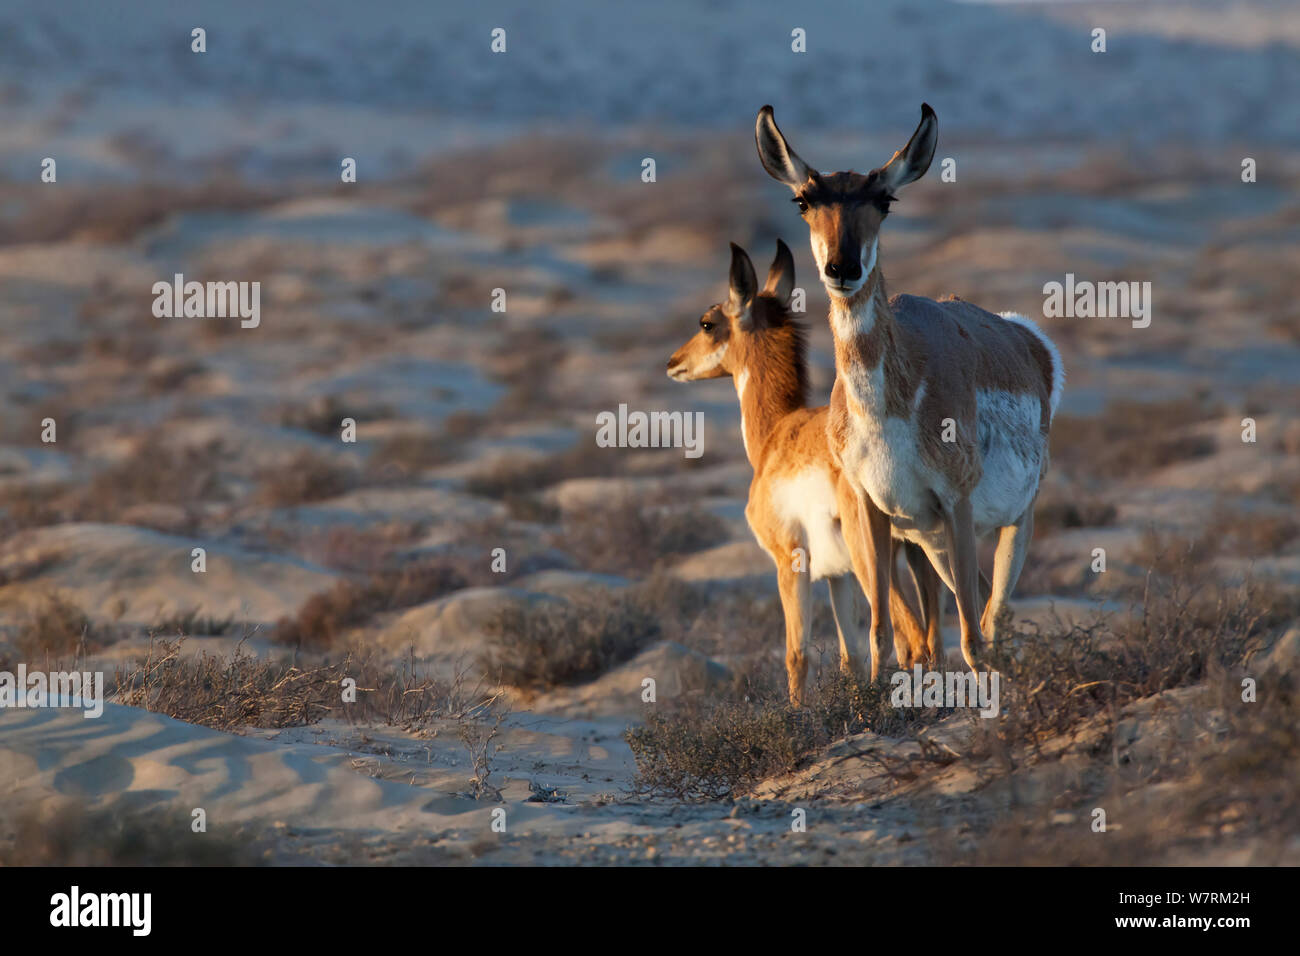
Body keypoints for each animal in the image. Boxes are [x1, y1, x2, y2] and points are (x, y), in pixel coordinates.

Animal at [666, 239, 939, 704]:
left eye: (707, 322)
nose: (672, 362)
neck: (779, 433)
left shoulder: (790, 562)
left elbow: (797, 656)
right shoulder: (837, 578)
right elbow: (849, 658)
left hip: (875, 564)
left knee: (911, 639)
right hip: (918, 558)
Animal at [755, 104, 1064, 672]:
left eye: (885, 200)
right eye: (803, 200)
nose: (843, 267)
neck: (887, 413)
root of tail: (1027, 338)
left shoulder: (956, 504)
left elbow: (969, 636)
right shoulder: (873, 512)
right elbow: (882, 633)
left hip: (1014, 524)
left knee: (993, 619)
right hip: (931, 541)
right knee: (980, 610)